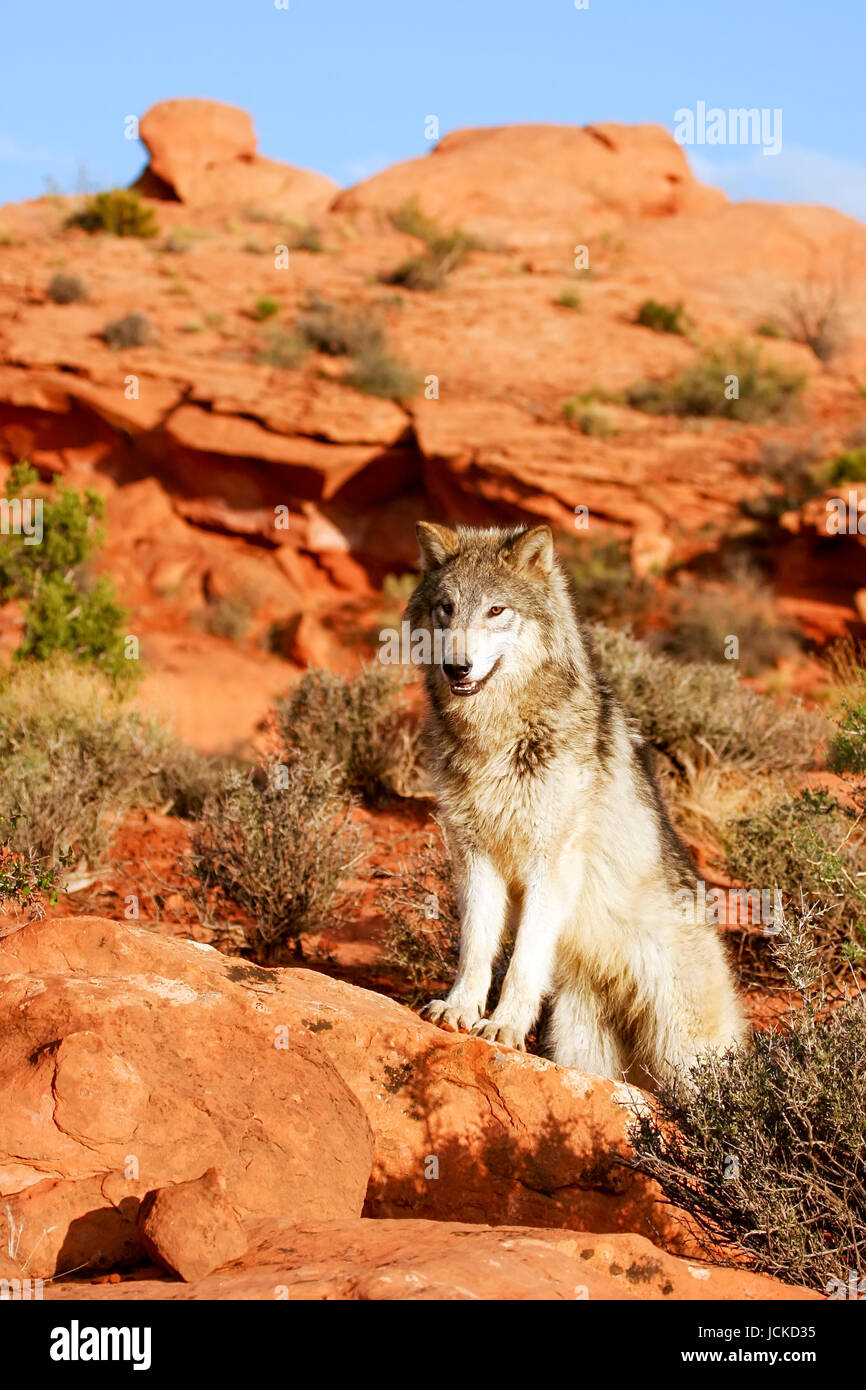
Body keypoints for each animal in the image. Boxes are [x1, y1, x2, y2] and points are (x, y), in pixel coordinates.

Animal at [407, 521, 747, 1087]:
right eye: (446, 609)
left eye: (496, 610)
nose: (456, 666)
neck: (498, 737)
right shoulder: (475, 856)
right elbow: (475, 948)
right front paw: (459, 1009)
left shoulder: (552, 861)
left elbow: (522, 961)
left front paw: (503, 1025)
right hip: (578, 1041)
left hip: (683, 1053)